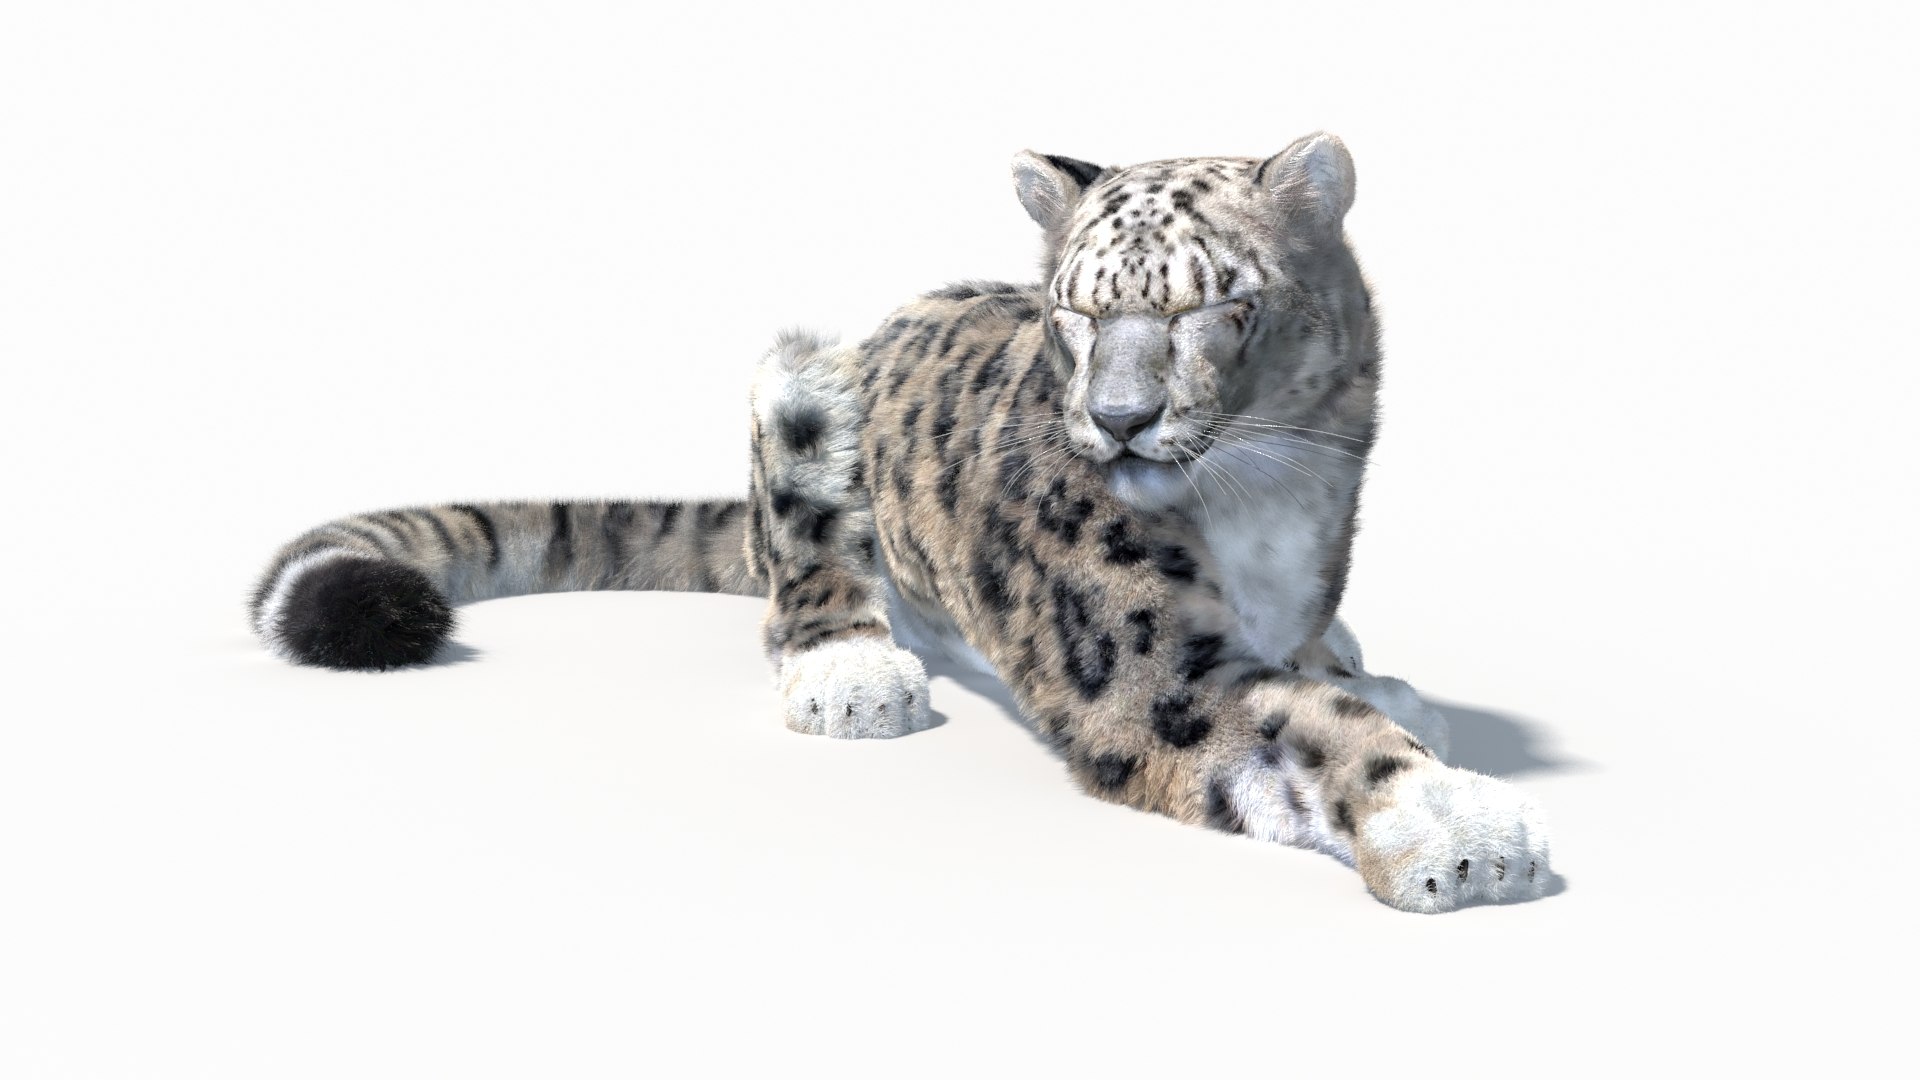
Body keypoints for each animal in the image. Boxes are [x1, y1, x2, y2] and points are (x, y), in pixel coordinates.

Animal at [249, 133, 1552, 913]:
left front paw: (1378, 681)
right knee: (803, 578)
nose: (1120, 421)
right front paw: (1456, 821)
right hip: (800, 394)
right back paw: (857, 671)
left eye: (1218, 305)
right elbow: (1314, 723)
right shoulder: (1154, 673)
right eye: (1076, 313)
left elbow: (1321, 667)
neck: (1272, 493)